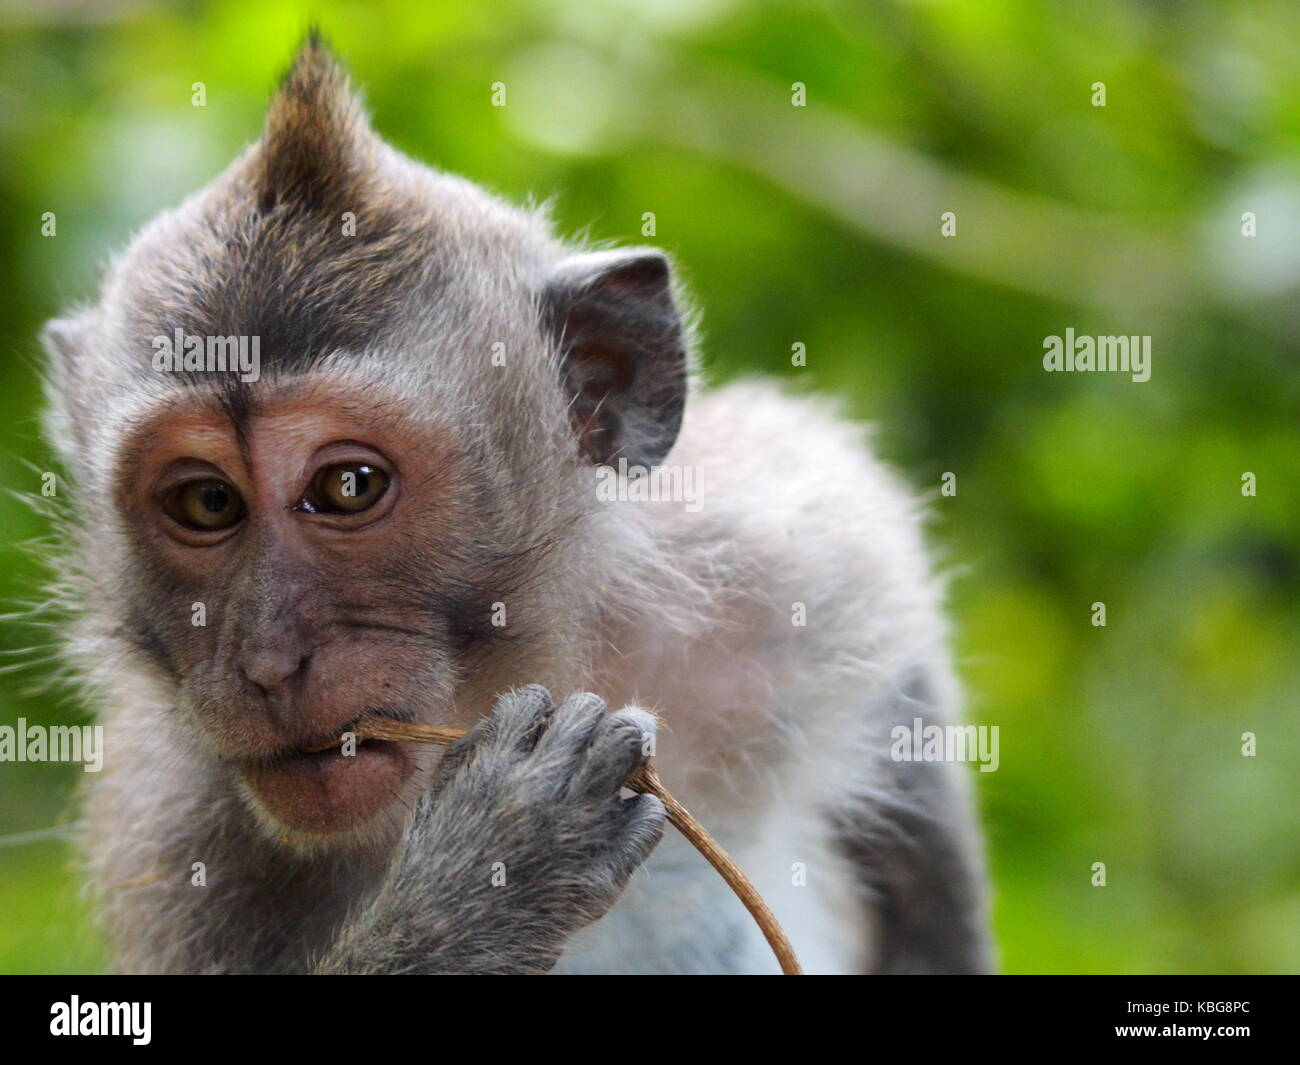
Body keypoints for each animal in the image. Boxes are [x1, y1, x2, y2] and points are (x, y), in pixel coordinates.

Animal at [38, 35, 993, 975]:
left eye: (349, 486)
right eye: (207, 501)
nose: (268, 662)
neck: (549, 658)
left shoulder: (797, 562)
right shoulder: (181, 837)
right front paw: (489, 863)